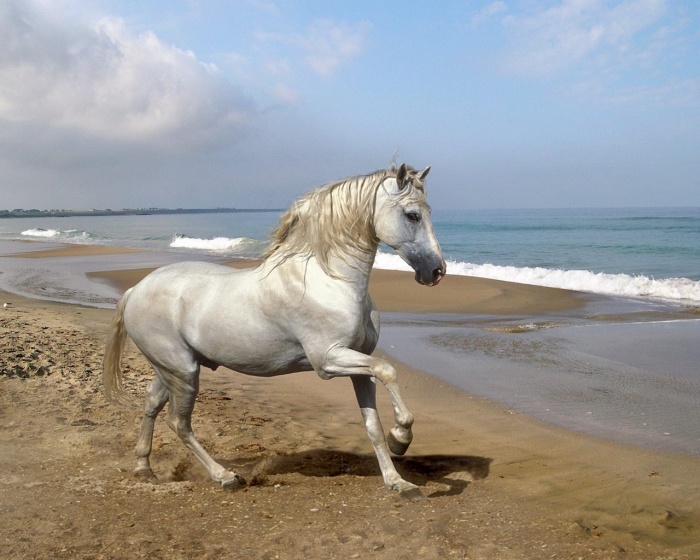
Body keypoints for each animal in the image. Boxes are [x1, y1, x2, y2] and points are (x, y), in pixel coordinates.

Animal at [103, 163, 445, 498]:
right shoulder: (328, 360)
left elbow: (373, 424)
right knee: (179, 422)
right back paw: (225, 476)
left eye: (428, 210)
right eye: (412, 215)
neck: (328, 279)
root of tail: (135, 290)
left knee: (151, 404)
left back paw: (144, 468)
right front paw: (401, 438)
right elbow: (389, 370)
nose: (436, 271)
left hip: (171, 369)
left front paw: (398, 482)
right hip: (183, 372)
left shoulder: (359, 365)